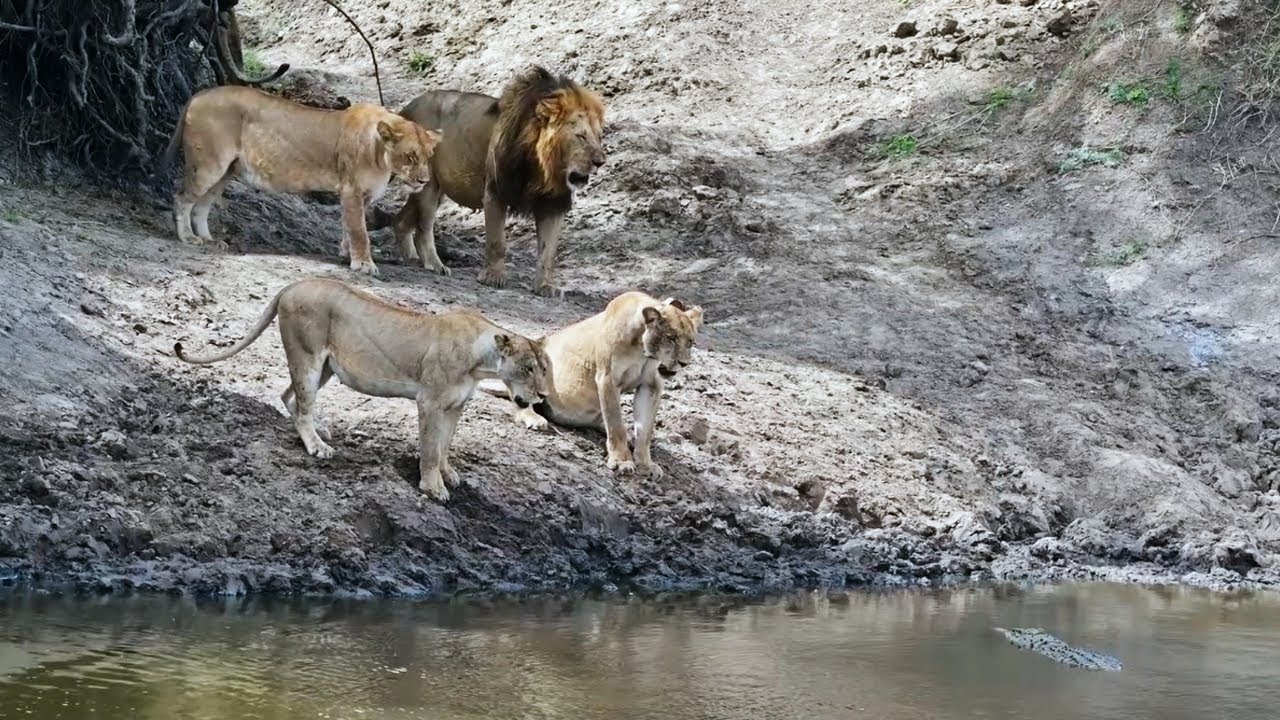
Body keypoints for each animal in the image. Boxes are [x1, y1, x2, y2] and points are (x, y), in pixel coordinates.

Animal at [161, 85, 441, 277]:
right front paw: (363, 264)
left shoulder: (360, 196)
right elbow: (360, 231)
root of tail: (200, 93)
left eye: (429, 156)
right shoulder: (352, 189)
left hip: (224, 172)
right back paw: (188, 237)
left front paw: (346, 254)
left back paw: (209, 240)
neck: (380, 154)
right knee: (182, 197)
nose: (424, 180)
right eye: (410, 155)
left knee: (201, 206)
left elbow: (347, 226)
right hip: (209, 165)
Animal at [173, 278, 548, 502]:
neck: (480, 361)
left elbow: (444, 446)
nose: (543, 397)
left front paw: (448, 474)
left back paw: (317, 431)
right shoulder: (429, 402)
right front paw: (433, 488)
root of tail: (295, 284)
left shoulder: (455, 406)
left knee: (289, 397)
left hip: (323, 366)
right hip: (307, 355)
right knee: (301, 401)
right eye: (528, 368)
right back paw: (318, 446)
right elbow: (430, 449)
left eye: (546, 369)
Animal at [385, 65, 606, 296]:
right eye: (581, 136)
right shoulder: (496, 190)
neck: (543, 167)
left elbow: (548, 251)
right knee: (424, 228)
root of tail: (409, 108)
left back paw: (411, 259)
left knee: (401, 221)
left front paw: (545, 286)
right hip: (428, 185)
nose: (600, 162)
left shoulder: (553, 204)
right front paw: (492, 277)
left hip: (434, 188)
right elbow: (497, 241)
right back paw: (435, 265)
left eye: (599, 136)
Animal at [482, 292, 703, 478]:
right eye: (671, 338)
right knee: (520, 402)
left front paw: (645, 465)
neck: (643, 350)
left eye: (690, 341)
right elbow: (615, 424)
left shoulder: (651, 386)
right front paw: (622, 462)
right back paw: (534, 418)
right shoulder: (607, 379)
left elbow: (645, 430)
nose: (684, 363)